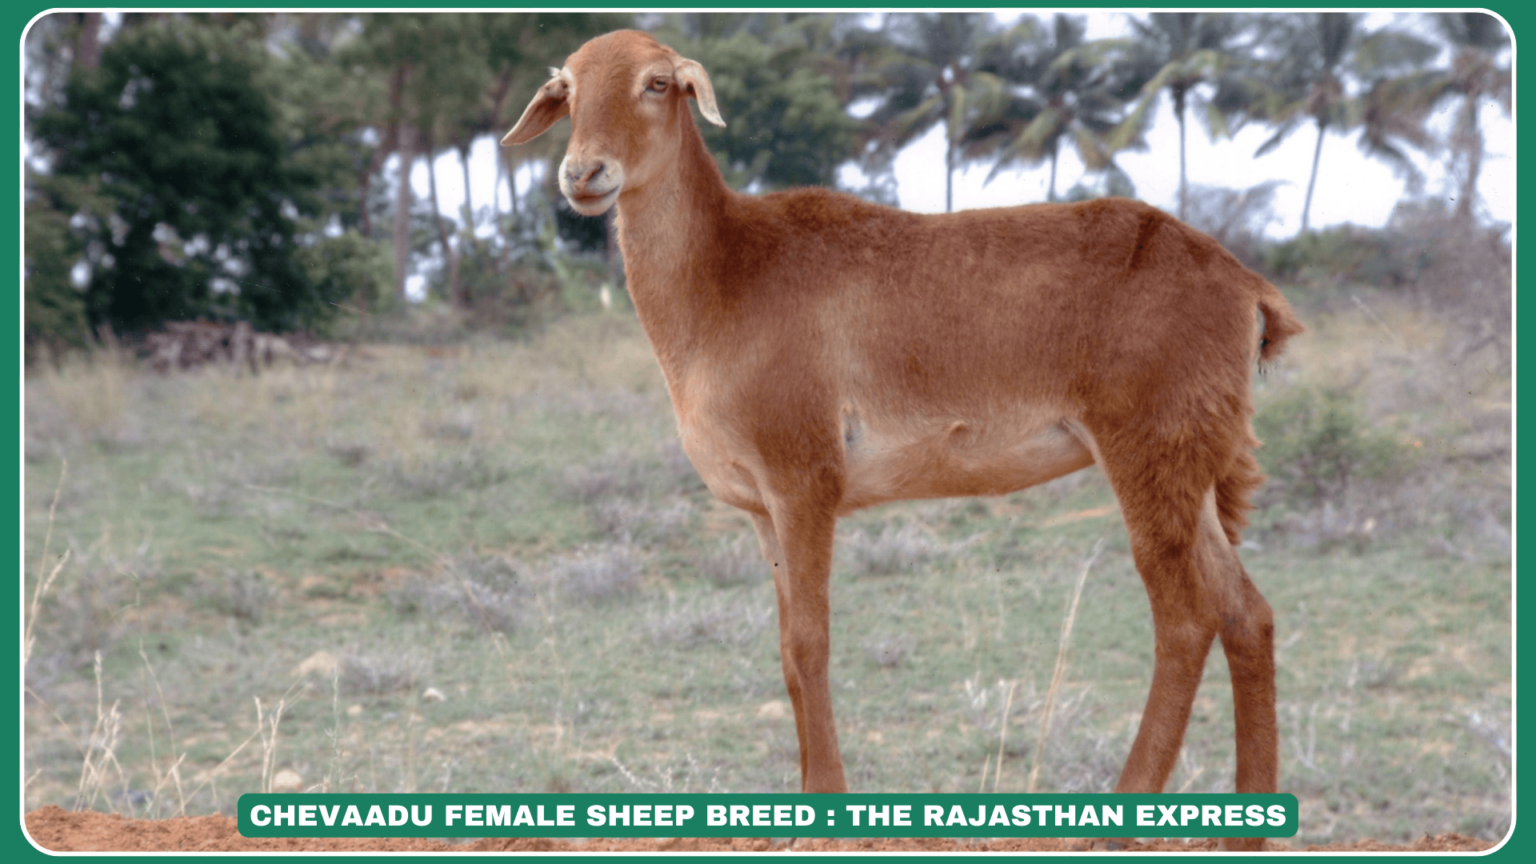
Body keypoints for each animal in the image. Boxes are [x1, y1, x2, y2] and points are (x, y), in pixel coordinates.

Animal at [504, 29, 1303, 844]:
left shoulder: (806, 486)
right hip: (1190, 471)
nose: (584, 175)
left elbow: (810, 644)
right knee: (1247, 613)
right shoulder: (763, 512)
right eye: (568, 88)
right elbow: (787, 652)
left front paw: (825, 802)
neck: (727, 273)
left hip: (1148, 461)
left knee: (1186, 621)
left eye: (657, 82)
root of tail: (1243, 286)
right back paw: (1248, 823)